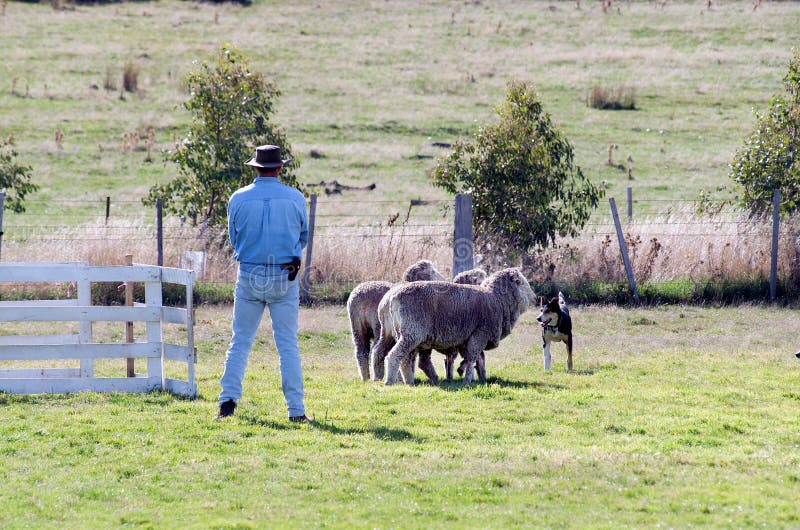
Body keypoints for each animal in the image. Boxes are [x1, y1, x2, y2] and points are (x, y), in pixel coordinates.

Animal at [372, 268, 536, 385]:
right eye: (522, 283)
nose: (535, 297)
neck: (497, 299)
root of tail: (389, 299)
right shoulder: (480, 333)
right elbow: (472, 358)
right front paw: (467, 380)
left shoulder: (468, 337)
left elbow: (475, 359)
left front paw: (473, 375)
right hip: (411, 332)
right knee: (396, 356)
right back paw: (391, 381)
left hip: (389, 332)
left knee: (380, 352)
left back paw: (379, 377)